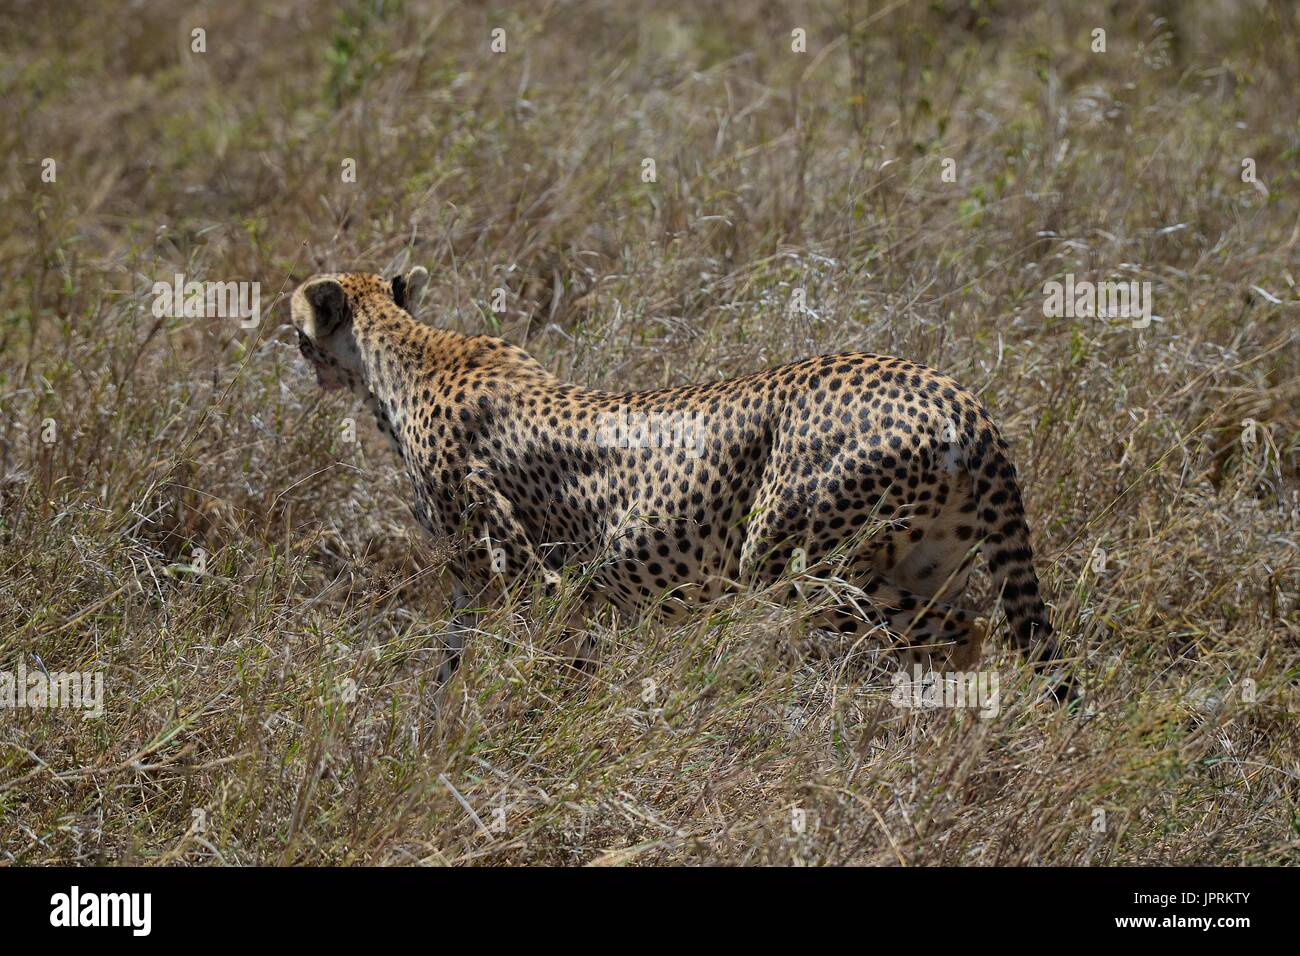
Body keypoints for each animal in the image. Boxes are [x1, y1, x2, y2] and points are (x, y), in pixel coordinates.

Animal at [291, 268, 1072, 699]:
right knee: (953, 639)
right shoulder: (512, 585)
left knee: (967, 632)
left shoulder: (529, 575)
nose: (293, 349)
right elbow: (451, 664)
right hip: (922, 561)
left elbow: (538, 667)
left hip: (792, 565)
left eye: (299, 327)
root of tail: (951, 393)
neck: (406, 354)